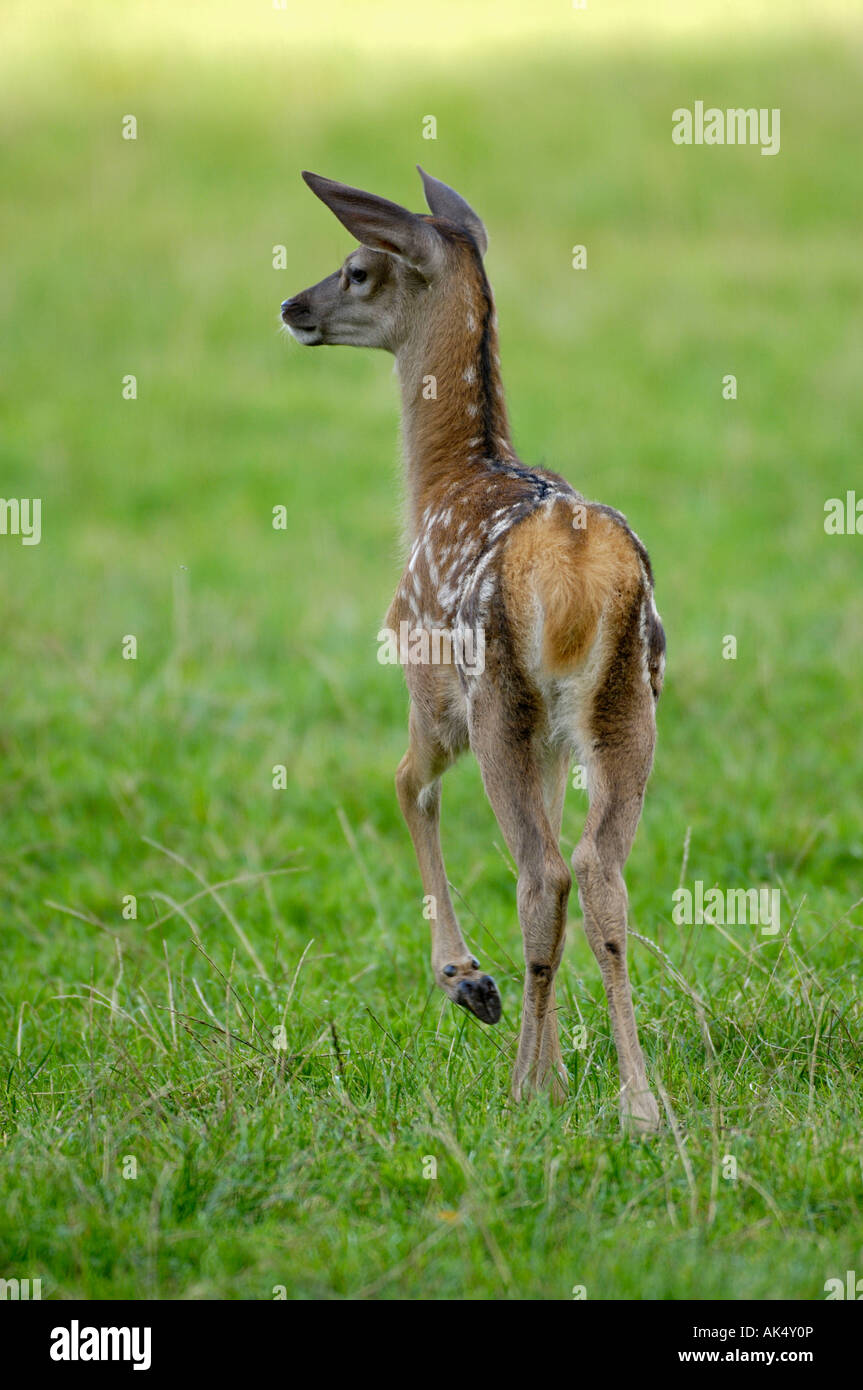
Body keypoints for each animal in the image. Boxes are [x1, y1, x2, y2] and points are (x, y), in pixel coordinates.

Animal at [281, 168, 665, 1132]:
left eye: (358, 268)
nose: (291, 305)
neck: (442, 481)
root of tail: (574, 564)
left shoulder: (423, 676)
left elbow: (404, 786)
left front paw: (466, 981)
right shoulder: (551, 742)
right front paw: (557, 1061)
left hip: (493, 697)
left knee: (537, 871)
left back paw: (524, 1080)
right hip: (621, 702)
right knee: (591, 868)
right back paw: (634, 1101)